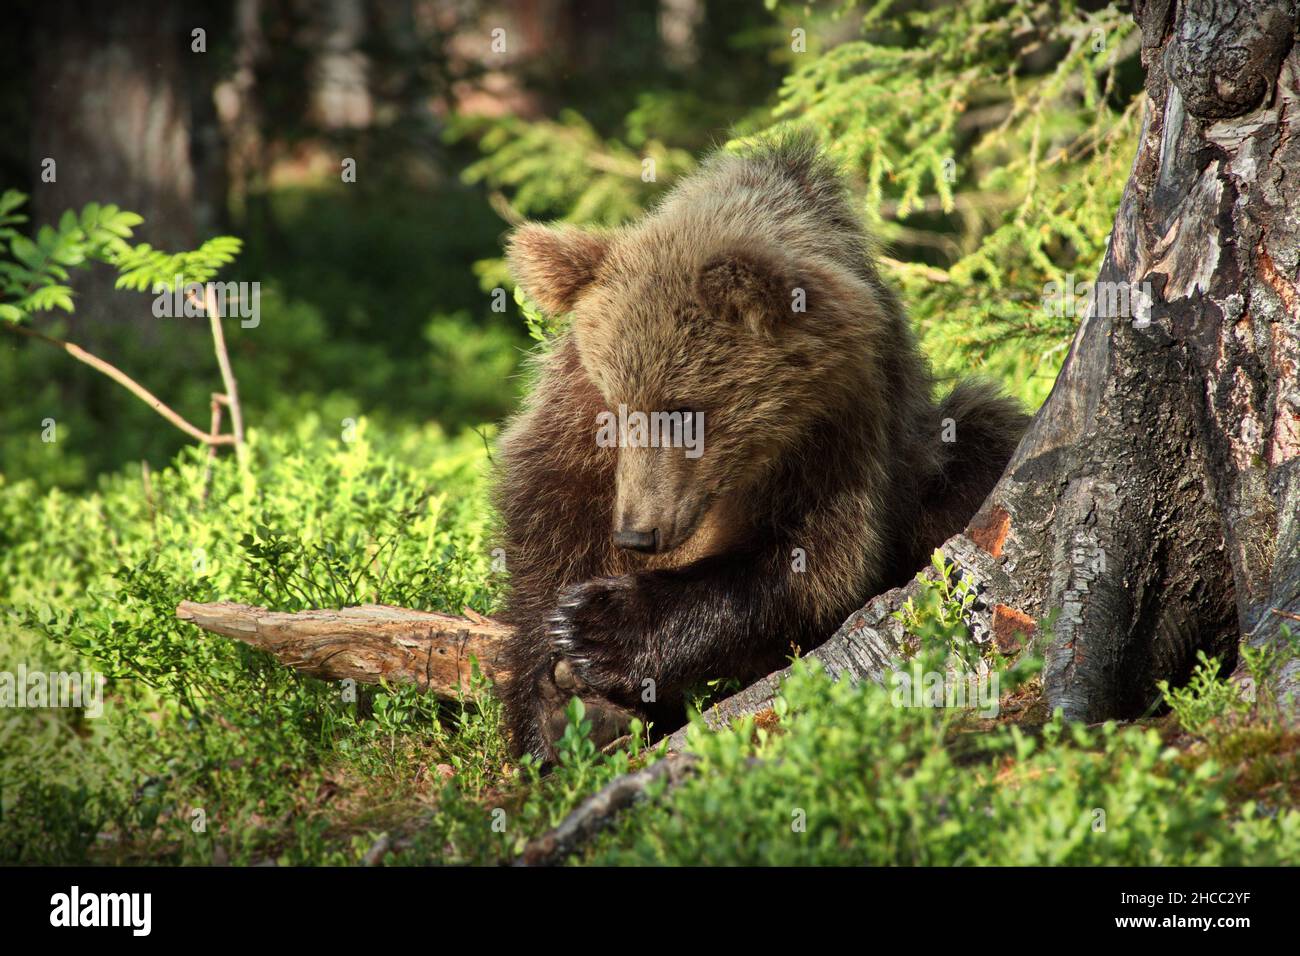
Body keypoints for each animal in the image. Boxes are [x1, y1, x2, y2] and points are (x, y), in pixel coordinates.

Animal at [493, 133, 1028, 762]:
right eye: (617, 410)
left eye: (686, 412)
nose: (638, 533)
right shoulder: (575, 422)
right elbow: (545, 523)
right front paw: (561, 701)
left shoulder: (842, 432)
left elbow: (810, 565)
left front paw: (602, 626)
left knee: (980, 436)